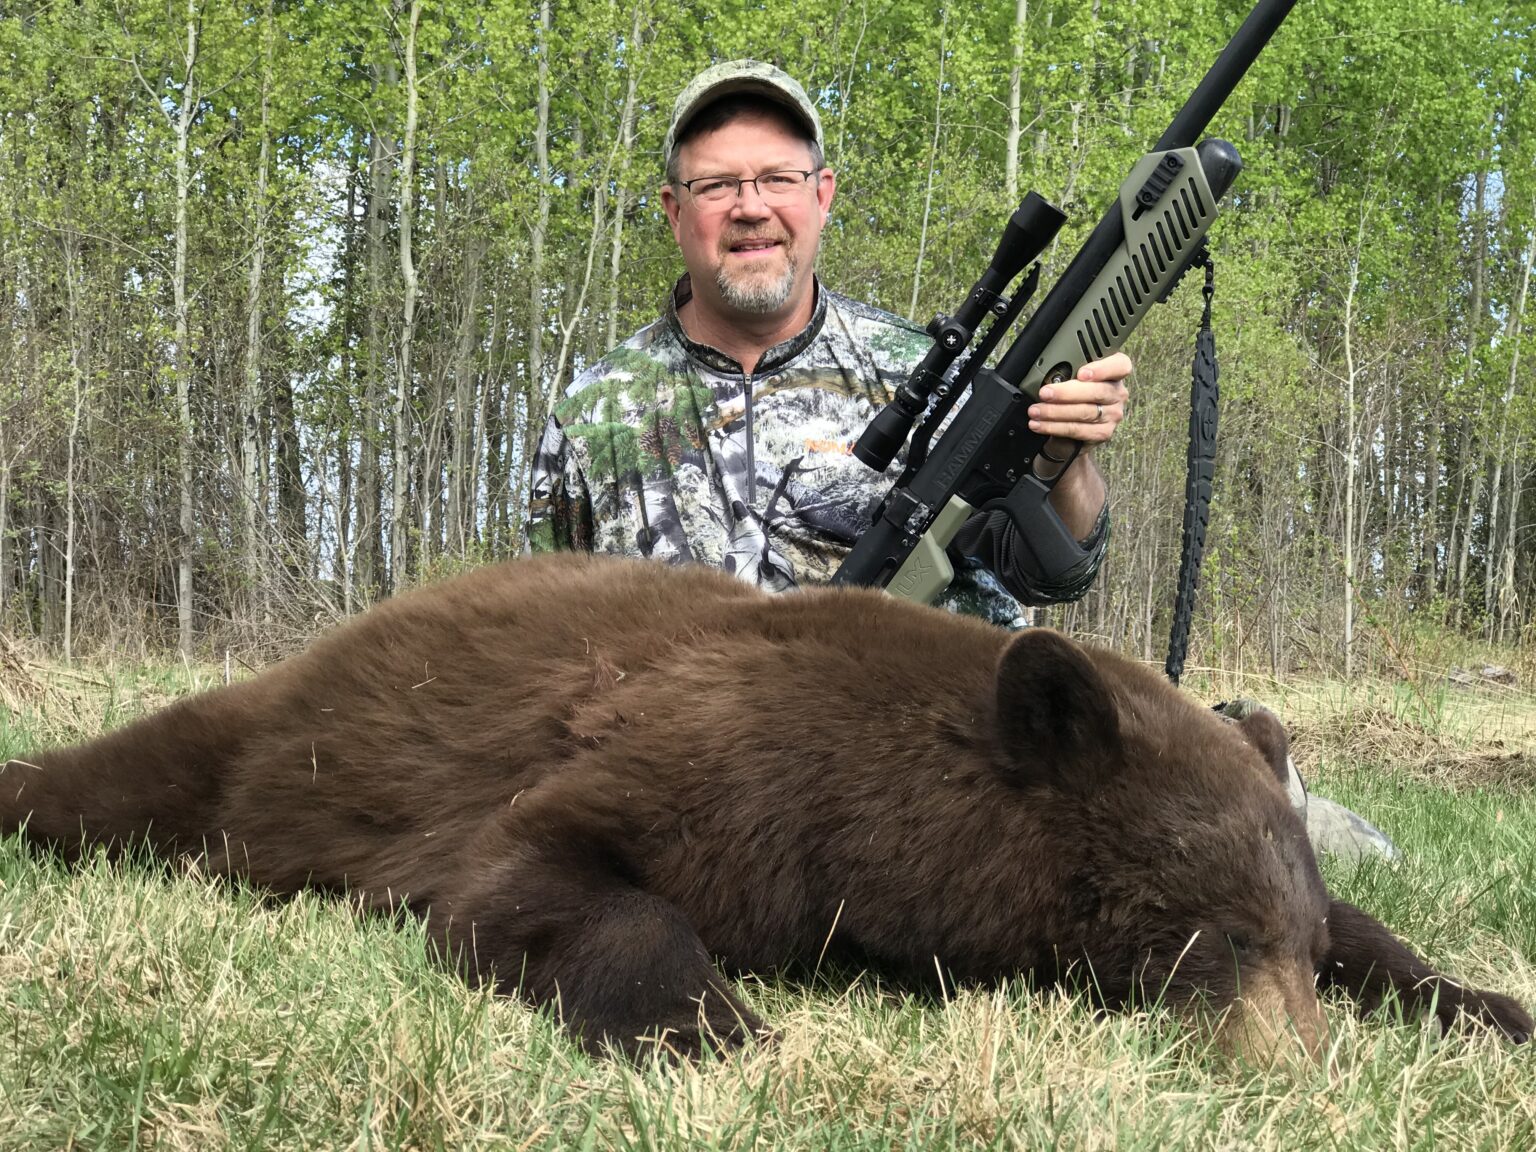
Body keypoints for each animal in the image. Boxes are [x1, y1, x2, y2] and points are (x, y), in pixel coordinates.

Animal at [1, 552, 1530, 1061]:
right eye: (1210, 937)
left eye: (1294, 941)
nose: (1303, 1067)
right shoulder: (729, 765)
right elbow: (534, 868)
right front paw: (715, 1028)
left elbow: (1386, 929)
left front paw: (1486, 1005)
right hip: (271, 751)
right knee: (119, 777)